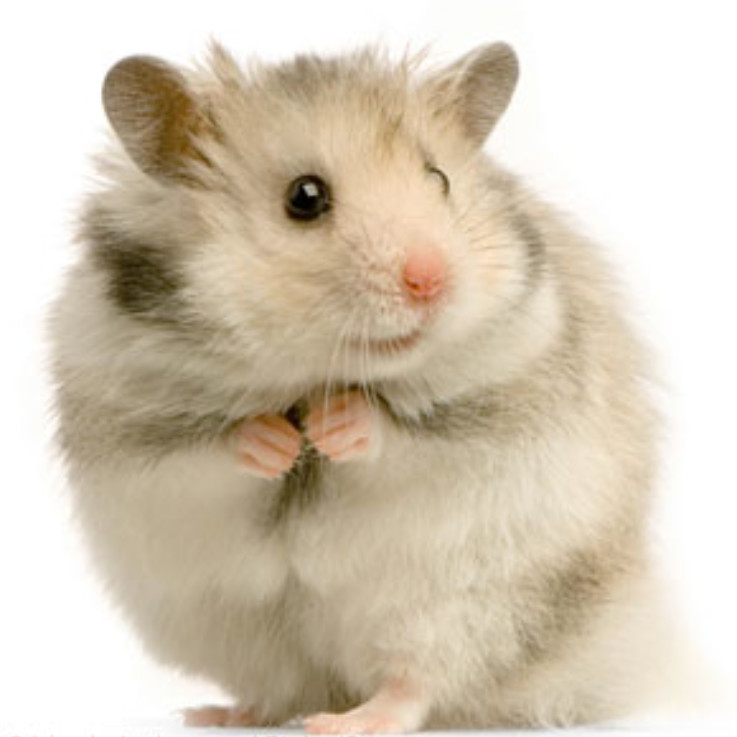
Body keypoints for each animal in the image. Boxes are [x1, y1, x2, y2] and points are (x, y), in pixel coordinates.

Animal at [50, 41, 680, 731]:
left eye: (439, 179)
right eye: (305, 197)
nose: (432, 281)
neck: (311, 375)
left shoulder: (497, 408)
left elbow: (400, 437)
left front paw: (334, 427)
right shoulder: (133, 437)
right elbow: (210, 452)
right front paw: (276, 441)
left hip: (465, 610)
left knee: (416, 684)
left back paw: (348, 720)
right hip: (232, 630)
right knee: (283, 689)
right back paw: (219, 712)